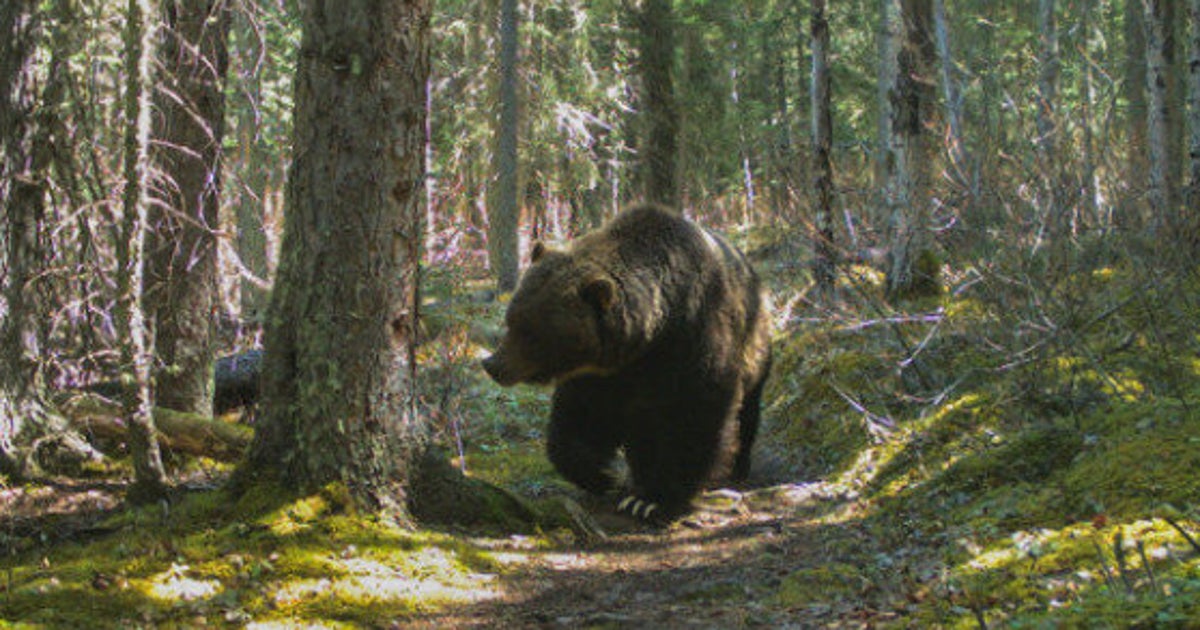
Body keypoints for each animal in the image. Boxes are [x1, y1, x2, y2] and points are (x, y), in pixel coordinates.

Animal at [481, 203, 772, 523]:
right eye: (511, 319)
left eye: (532, 333)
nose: (493, 364)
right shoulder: (606, 374)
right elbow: (583, 417)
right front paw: (602, 475)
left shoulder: (694, 340)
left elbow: (695, 415)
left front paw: (655, 499)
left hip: (755, 349)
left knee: (747, 411)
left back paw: (737, 467)